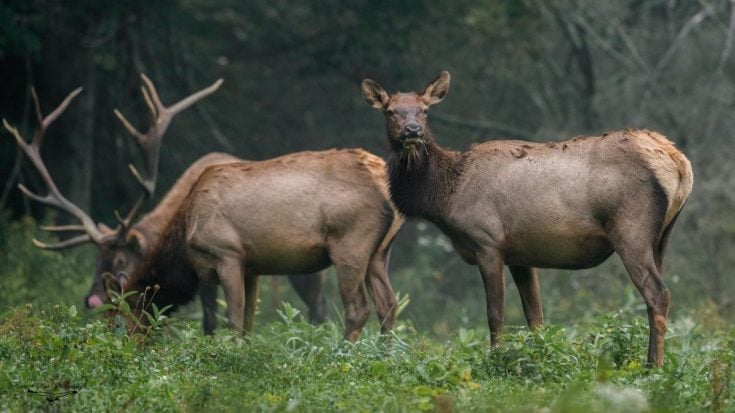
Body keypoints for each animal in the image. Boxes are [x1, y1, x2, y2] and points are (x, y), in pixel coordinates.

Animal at [361, 71, 693, 367]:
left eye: (425, 110)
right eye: (390, 111)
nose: (412, 131)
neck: (445, 197)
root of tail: (679, 163)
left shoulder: (488, 241)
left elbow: (494, 314)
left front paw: (496, 360)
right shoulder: (520, 254)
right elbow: (535, 317)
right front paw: (541, 359)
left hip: (630, 229)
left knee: (658, 293)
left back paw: (654, 367)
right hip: (662, 236)